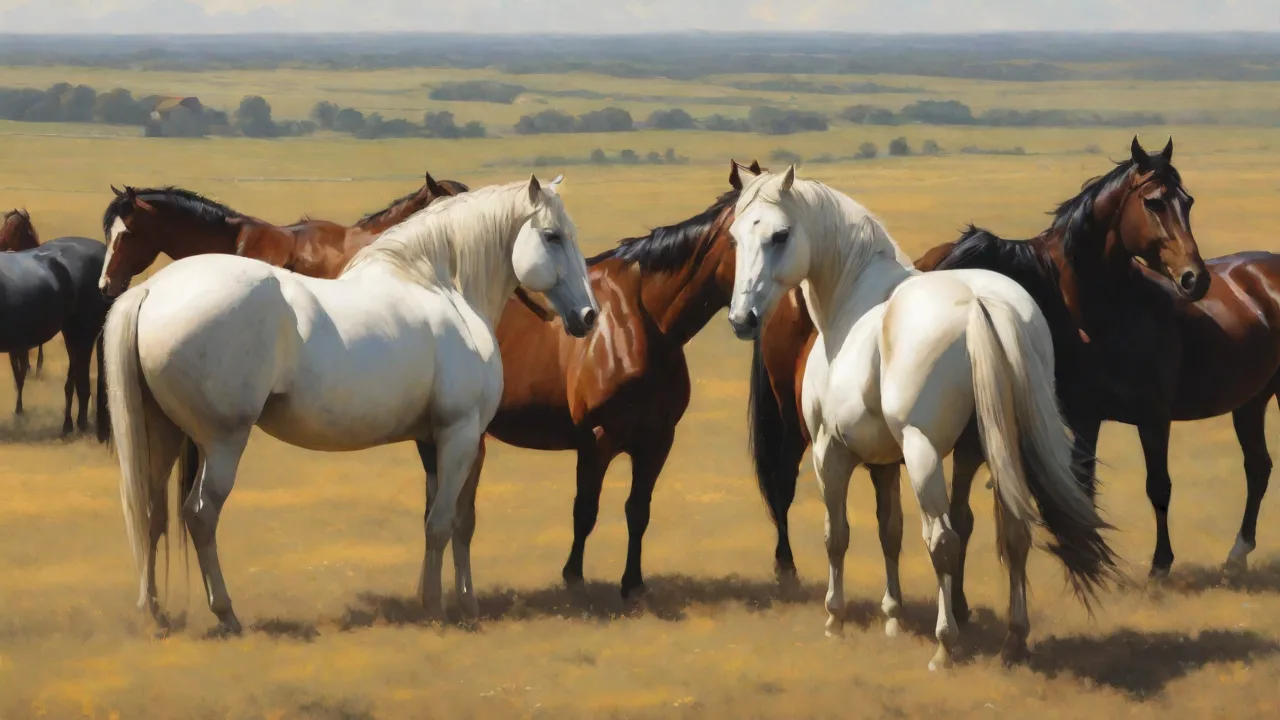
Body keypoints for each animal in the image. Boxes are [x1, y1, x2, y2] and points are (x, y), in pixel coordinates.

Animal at [485, 159, 760, 598]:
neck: (641, 321)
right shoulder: (596, 439)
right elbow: (585, 511)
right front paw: (573, 577)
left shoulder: (656, 441)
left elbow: (638, 511)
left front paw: (632, 582)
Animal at [726, 166, 1118, 670]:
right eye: (736, 237)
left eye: (780, 235)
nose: (743, 319)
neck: (854, 299)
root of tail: (979, 303)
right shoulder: (887, 461)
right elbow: (889, 531)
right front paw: (892, 617)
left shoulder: (830, 453)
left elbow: (839, 535)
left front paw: (835, 618)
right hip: (994, 449)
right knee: (1014, 532)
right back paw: (1014, 640)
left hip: (924, 453)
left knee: (943, 540)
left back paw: (944, 647)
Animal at [749, 139, 1247, 625]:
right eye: (1154, 202)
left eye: (1188, 201)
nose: (1195, 279)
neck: (1061, 292)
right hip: (801, 426)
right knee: (784, 483)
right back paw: (790, 571)